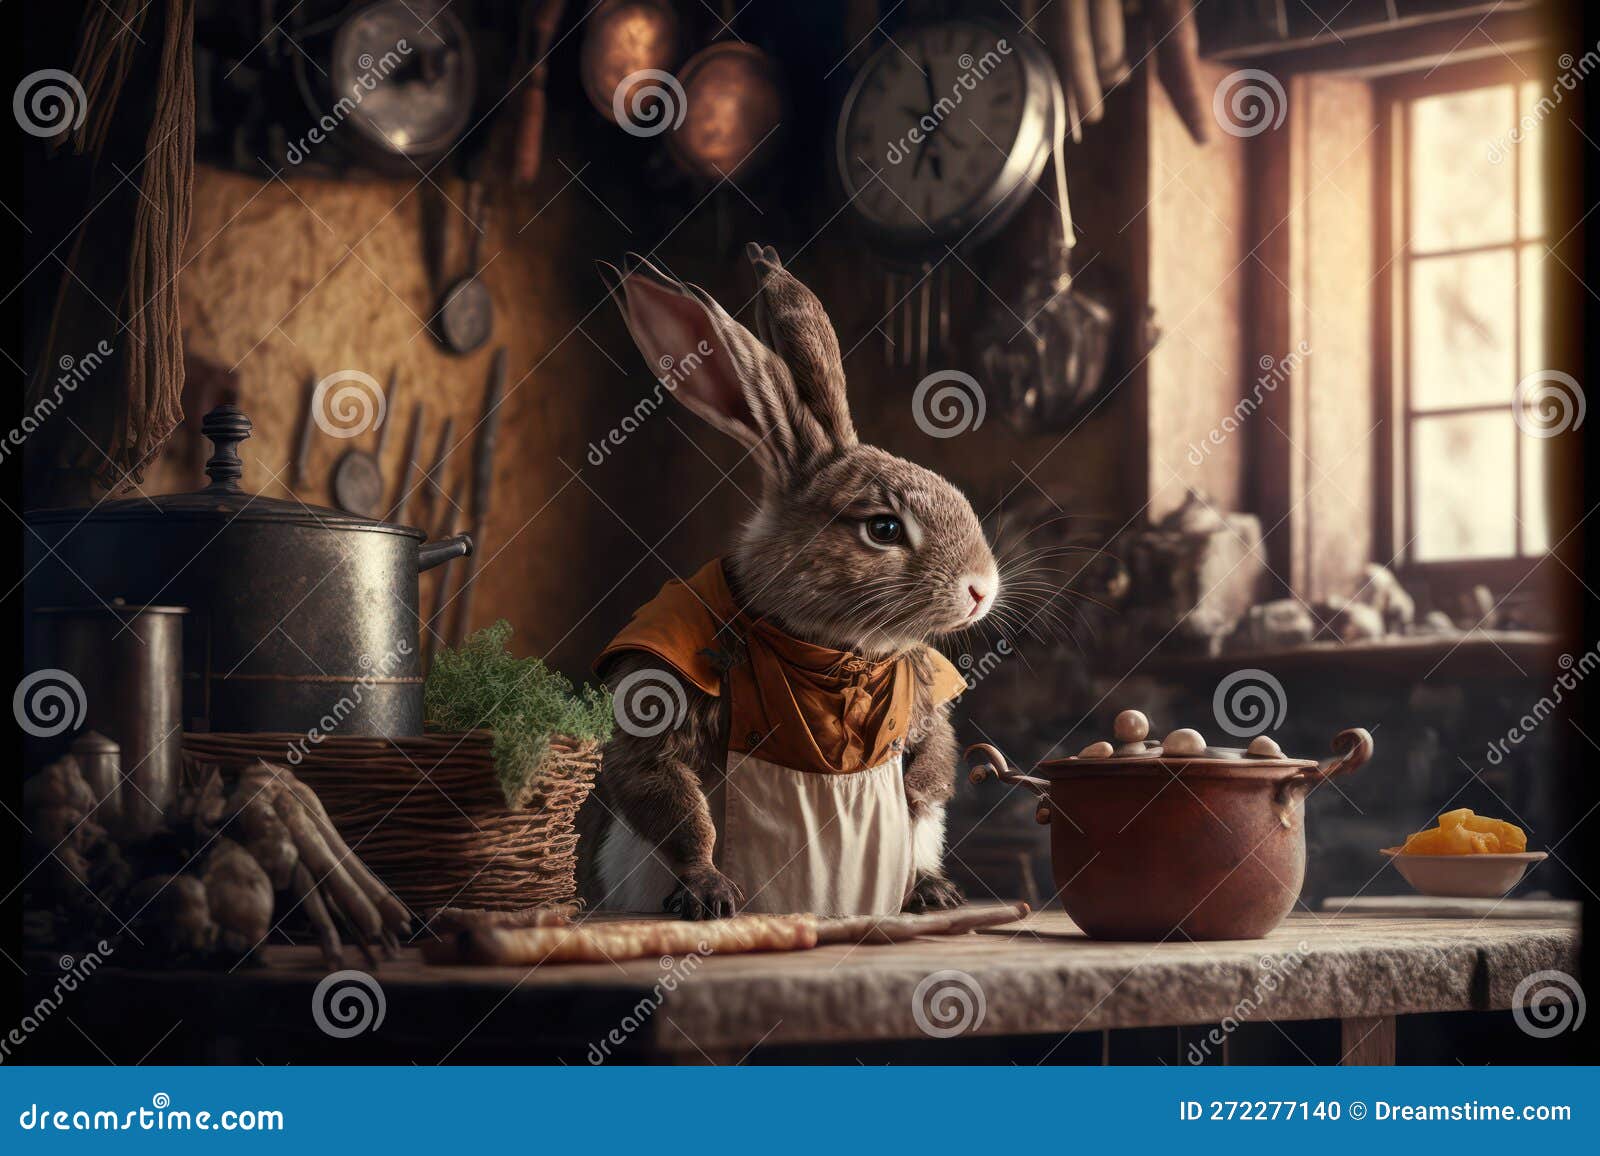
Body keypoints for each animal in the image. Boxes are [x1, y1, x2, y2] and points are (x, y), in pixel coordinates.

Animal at [577, 243, 1000, 920]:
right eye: (884, 527)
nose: (981, 588)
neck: (829, 655)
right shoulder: (660, 693)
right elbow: (673, 801)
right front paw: (710, 892)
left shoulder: (924, 699)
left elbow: (931, 768)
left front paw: (916, 820)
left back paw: (931, 892)